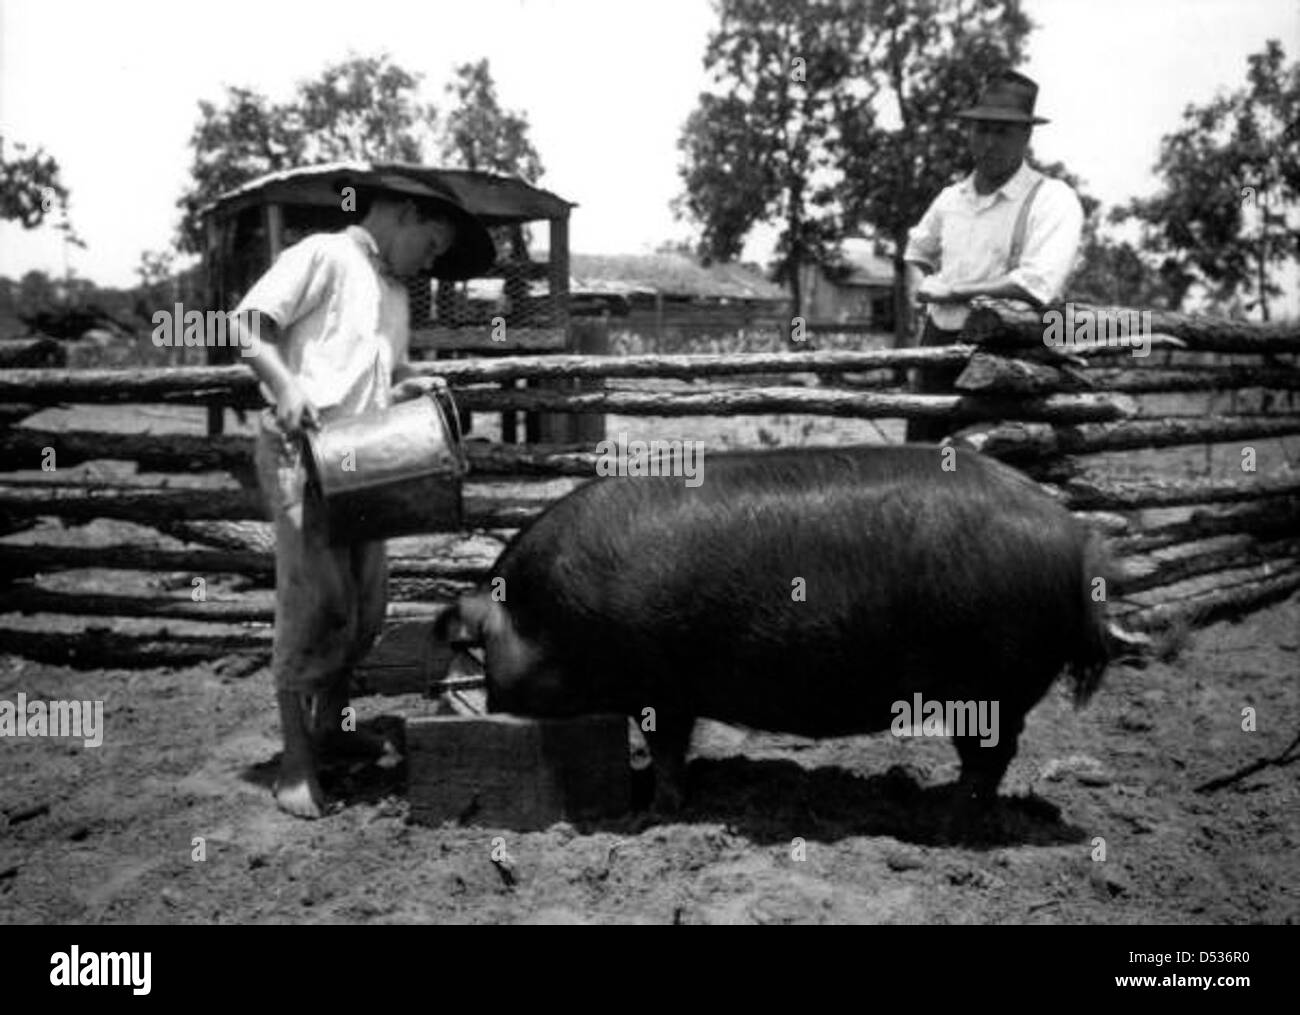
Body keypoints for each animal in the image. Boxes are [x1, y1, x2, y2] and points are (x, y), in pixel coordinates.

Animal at [437, 444, 1111, 814]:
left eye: (486, 650)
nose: (489, 709)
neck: (546, 613)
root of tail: (1076, 542)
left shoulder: (659, 686)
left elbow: (667, 750)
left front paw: (653, 813)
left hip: (990, 684)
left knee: (990, 759)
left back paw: (946, 822)